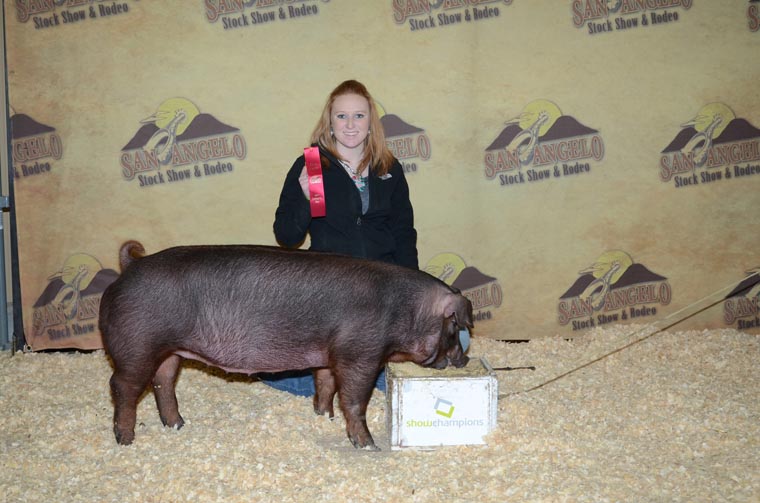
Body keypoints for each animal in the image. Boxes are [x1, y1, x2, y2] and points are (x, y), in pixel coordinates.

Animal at [98, 240, 472, 450]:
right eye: (455, 327)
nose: (465, 360)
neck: (404, 310)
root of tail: (130, 265)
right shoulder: (360, 353)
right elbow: (354, 400)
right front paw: (368, 446)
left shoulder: (328, 354)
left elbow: (325, 384)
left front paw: (324, 416)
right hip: (137, 345)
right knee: (123, 386)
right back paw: (126, 440)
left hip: (168, 350)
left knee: (163, 382)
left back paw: (178, 425)